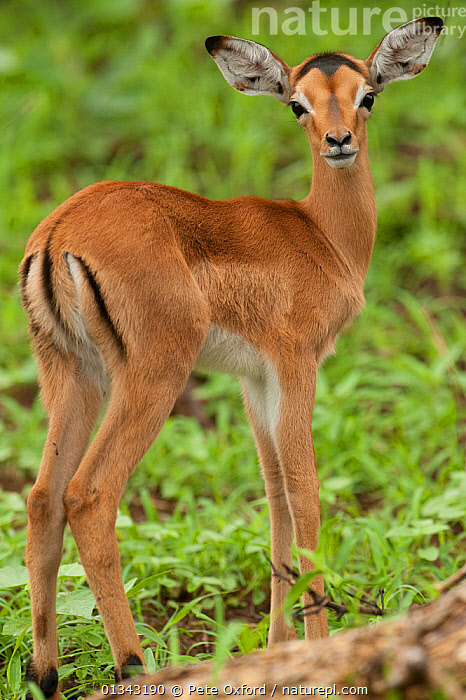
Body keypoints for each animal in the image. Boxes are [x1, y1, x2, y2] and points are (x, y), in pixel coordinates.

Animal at [20, 17, 442, 698]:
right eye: (297, 103)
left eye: (367, 94)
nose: (339, 141)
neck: (322, 236)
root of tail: (58, 232)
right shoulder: (298, 366)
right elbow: (306, 493)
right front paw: (319, 651)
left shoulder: (254, 380)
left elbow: (273, 495)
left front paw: (276, 650)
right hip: (153, 376)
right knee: (87, 495)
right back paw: (134, 664)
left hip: (73, 375)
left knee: (40, 498)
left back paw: (43, 673)